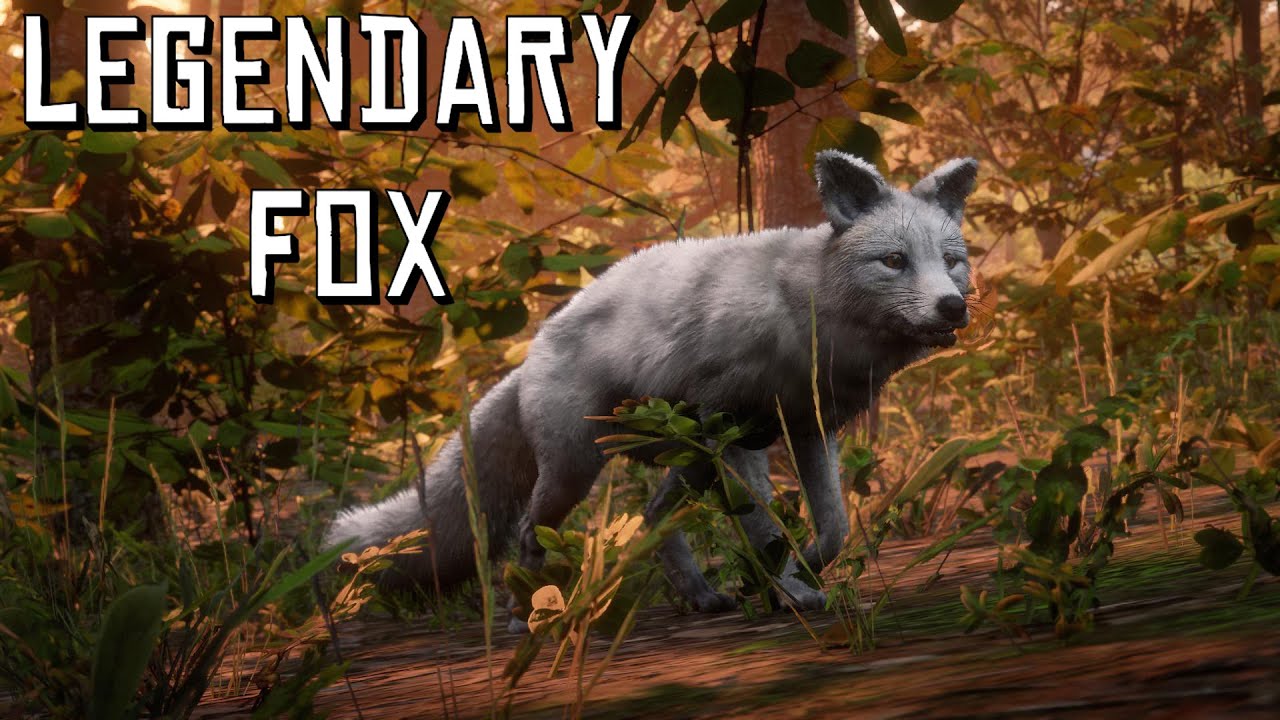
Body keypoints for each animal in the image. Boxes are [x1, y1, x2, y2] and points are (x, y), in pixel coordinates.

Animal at [324, 151, 978, 630]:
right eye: (893, 261)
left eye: (951, 261)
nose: (953, 307)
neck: (806, 317)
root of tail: (530, 353)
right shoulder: (731, 427)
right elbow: (764, 527)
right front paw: (788, 589)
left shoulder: (807, 430)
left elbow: (834, 527)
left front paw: (798, 575)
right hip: (577, 472)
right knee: (528, 532)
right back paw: (522, 615)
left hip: (686, 464)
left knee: (649, 518)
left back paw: (702, 597)